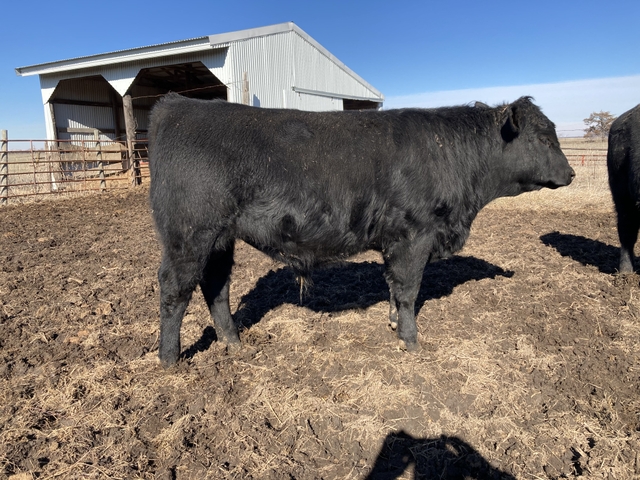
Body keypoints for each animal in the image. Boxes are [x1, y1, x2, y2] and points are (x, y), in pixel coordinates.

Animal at [149, 94, 575, 368]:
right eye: (542, 138)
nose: (571, 173)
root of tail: (175, 105)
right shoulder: (415, 235)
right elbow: (409, 289)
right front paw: (411, 341)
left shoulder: (395, 241)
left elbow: (393, 285)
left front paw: (393, 323)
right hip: (189, 234)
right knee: (175, 289)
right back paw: (170, 360)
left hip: (220, 238)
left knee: (216, 286)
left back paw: (233, 343)